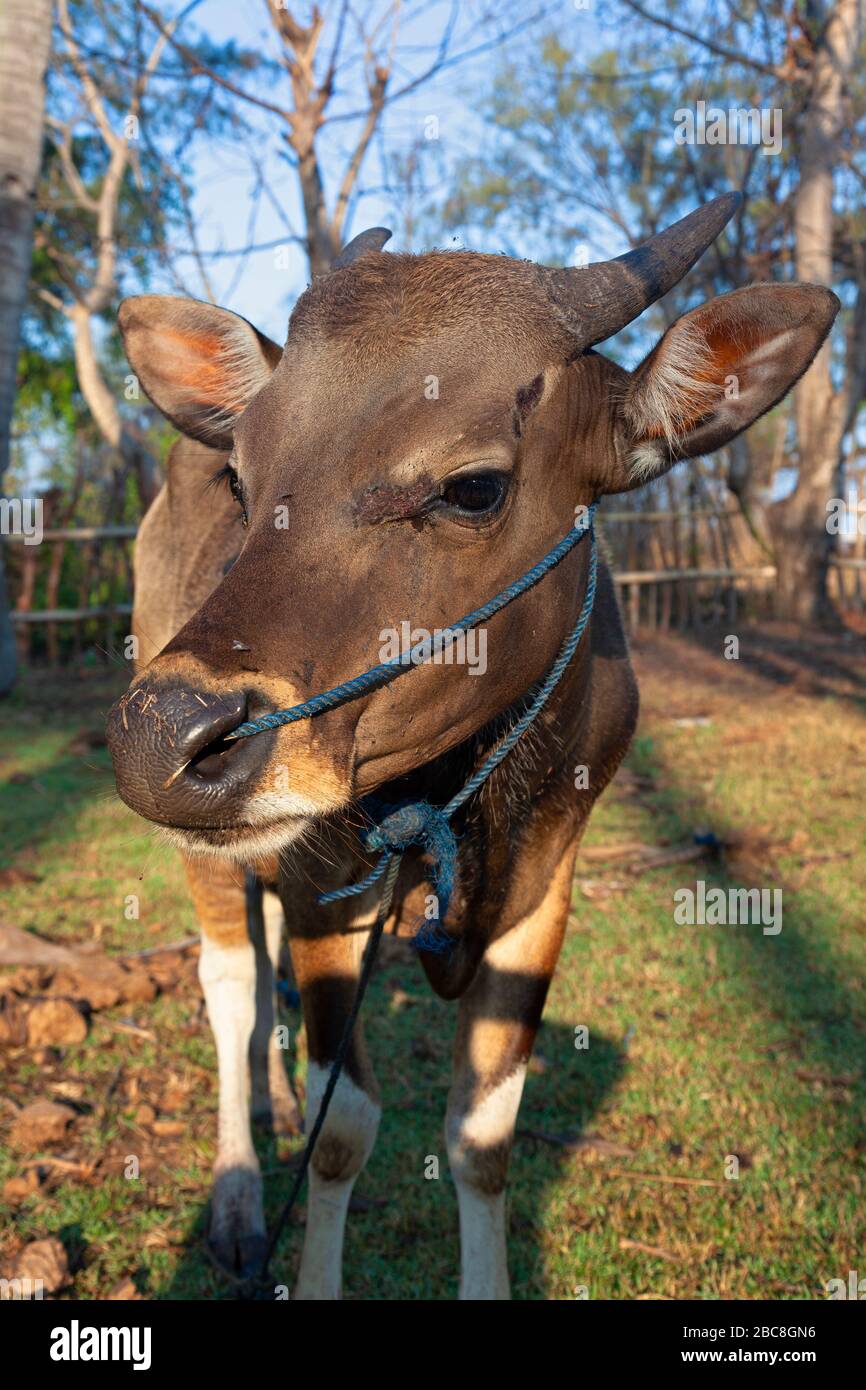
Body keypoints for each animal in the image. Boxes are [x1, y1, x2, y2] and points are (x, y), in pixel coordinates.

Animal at [106, 194, 837, 1299]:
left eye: (473, 487)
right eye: (241, 476)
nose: (165, 736)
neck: (463, 798)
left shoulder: (544, 887)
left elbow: (482, 1138)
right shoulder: (327, 883)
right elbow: (344, 1133)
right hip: (211, 844)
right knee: (231, 984)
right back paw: (237, 1197)